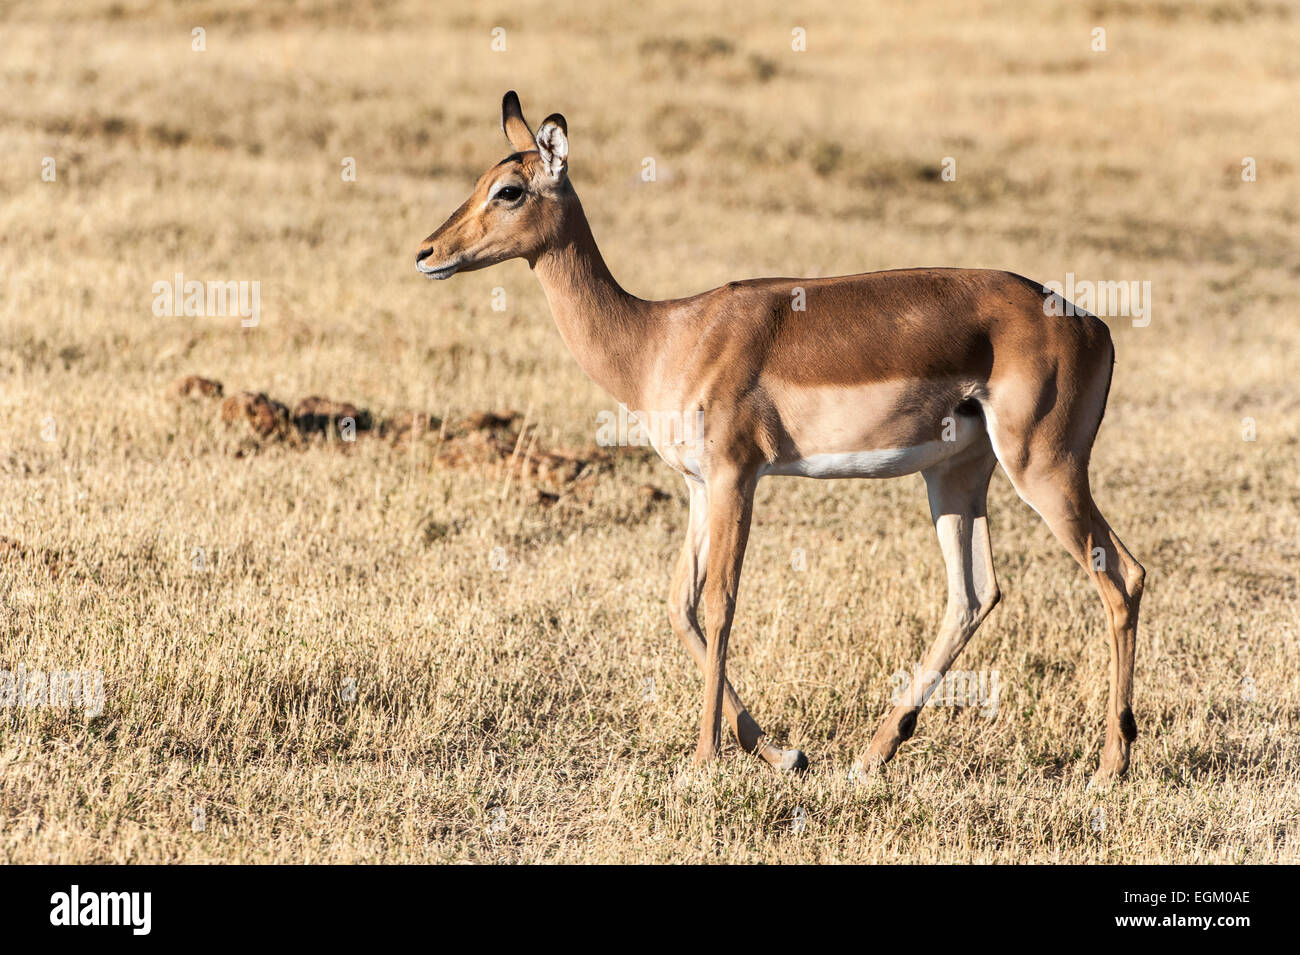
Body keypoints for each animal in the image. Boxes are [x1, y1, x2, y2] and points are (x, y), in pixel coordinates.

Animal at [415, 92, 1146, 784]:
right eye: (482, 178)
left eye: (510, 189)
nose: (427, 253)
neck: (661, 337)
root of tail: (1092, 323)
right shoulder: (699, 485)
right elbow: (679, 605)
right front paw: (783, 754)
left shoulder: (737, 475)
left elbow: (719, 604)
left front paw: (704, 760)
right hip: (956, 475)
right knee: (974, 594)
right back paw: (872, 755)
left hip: (1043, 467)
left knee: (1121, 575)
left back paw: (1109, 765)